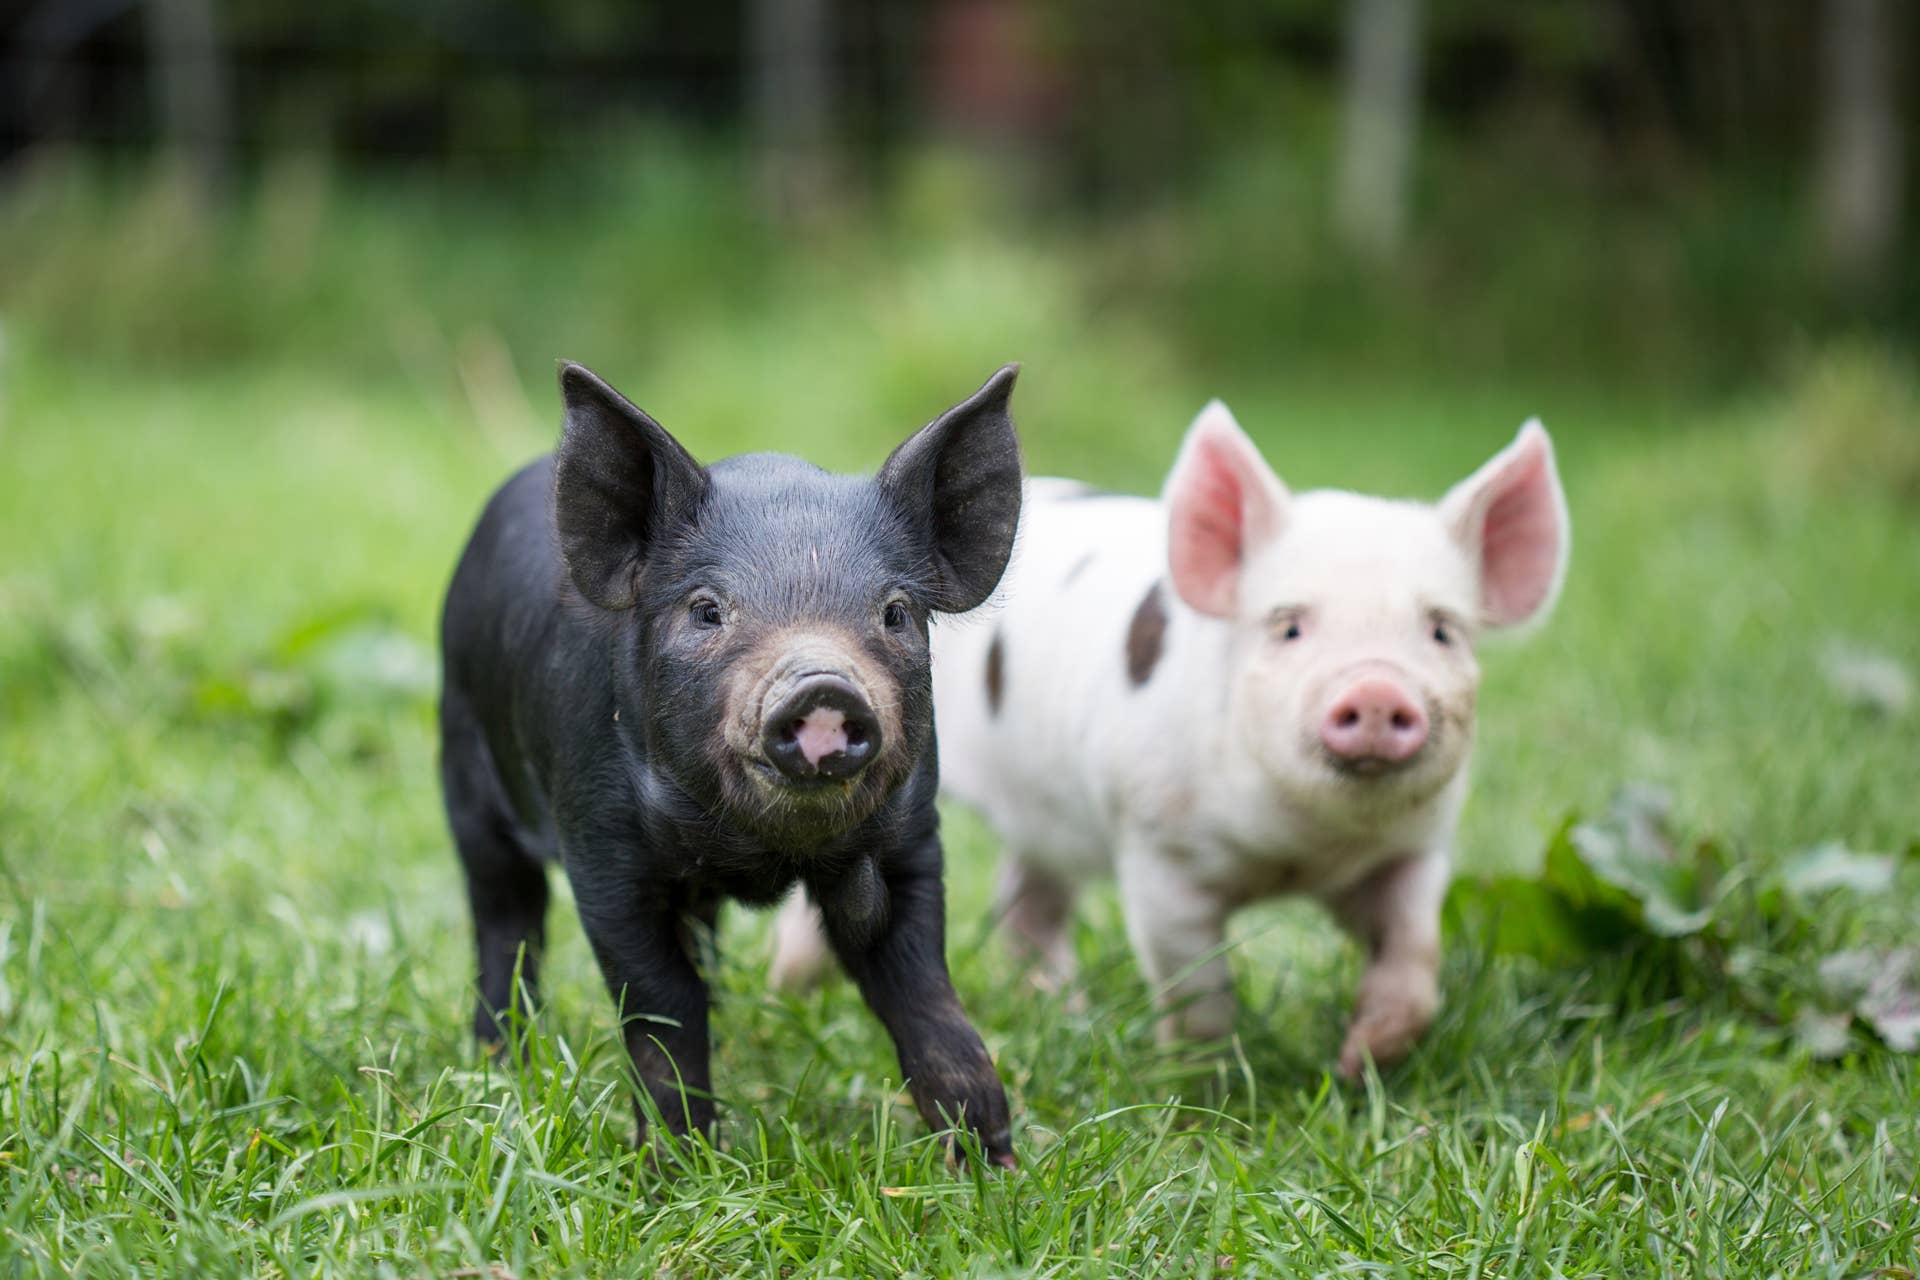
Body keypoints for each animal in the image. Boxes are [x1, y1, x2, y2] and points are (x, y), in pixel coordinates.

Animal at [439, 361, 1023, 1166]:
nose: (822, 685)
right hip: (465, 774)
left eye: (895, 612)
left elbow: (920, 987)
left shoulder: (912, 835)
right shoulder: (601, 850)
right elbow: (662, 1008)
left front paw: (994, 1165)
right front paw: (674, 1170)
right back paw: (497, 1066)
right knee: (504, 916)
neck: (757, 854)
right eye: (708, 609)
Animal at [772, 401, 1568, 1079]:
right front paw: (1202, 1084)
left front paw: (1360, 1061)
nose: (1376, 690)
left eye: (1442, 631)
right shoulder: (1157, 849)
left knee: (1025, 901)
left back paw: (1062, 1009)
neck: (1300, 853)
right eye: (1288, 626)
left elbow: (1413, 956)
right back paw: (792, 991)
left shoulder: (1415, 848)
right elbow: (1197, 989)